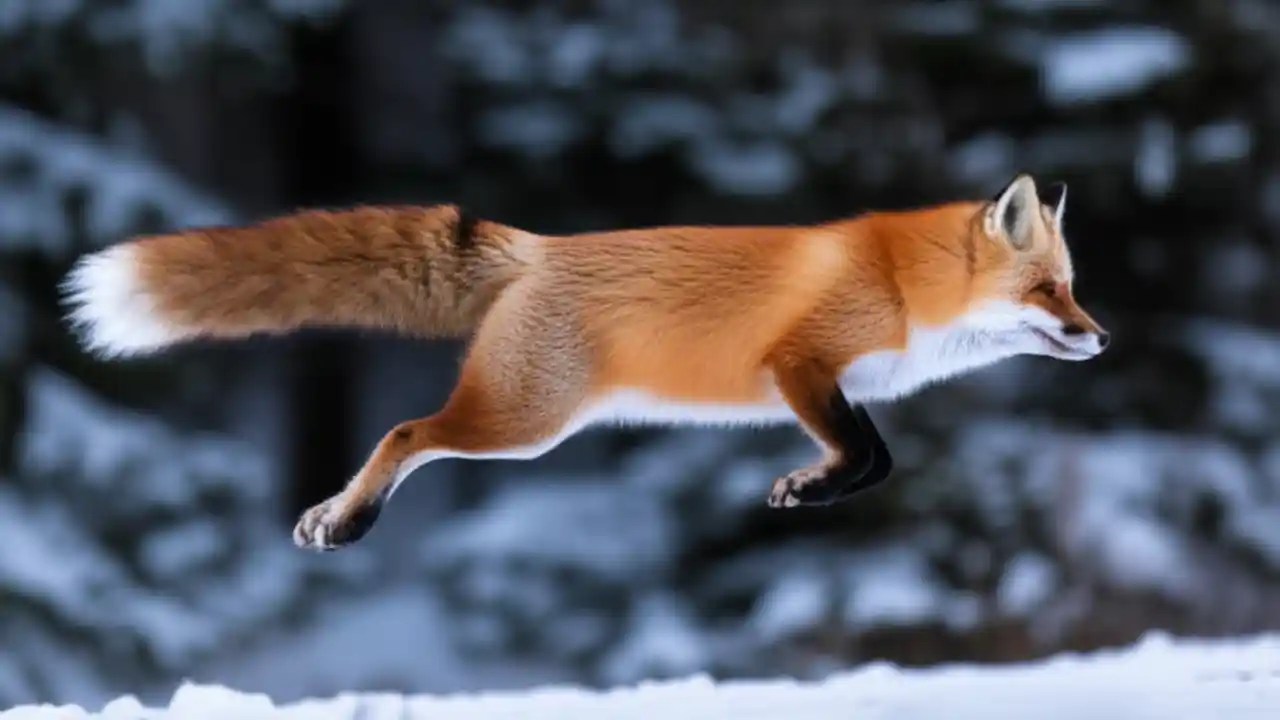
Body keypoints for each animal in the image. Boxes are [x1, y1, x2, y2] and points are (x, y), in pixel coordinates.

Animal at [63, 173, 1107, 551]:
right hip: (521, 425)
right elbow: (870, 458)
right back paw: (345, 519)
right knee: (404, 431)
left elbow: (874, 456)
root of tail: (536, 247)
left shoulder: (834, 387)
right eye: (1048, 290)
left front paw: (805, 486)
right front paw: (806, 490)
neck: (899, 286)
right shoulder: (799, 362)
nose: (1101, 336)